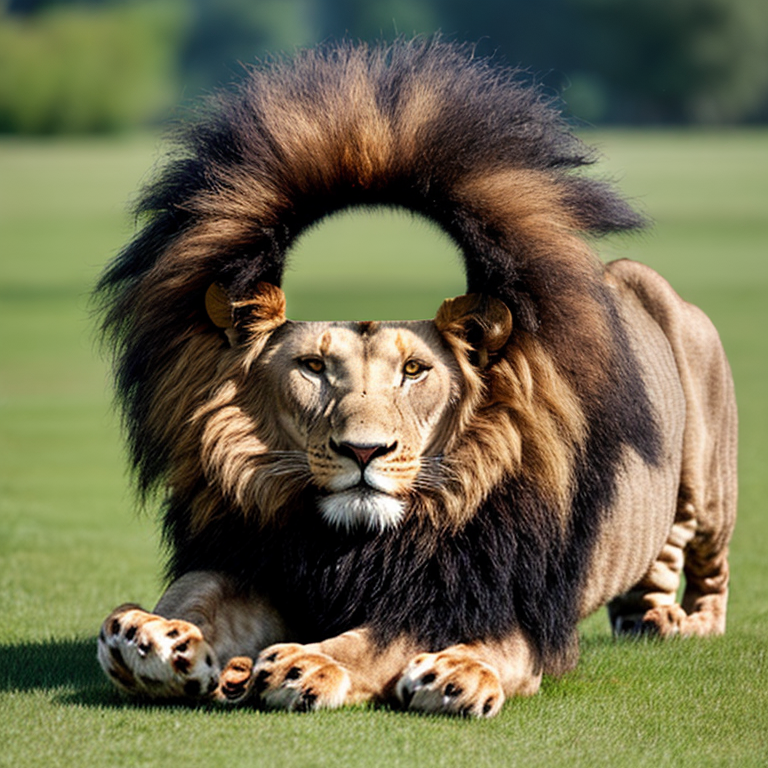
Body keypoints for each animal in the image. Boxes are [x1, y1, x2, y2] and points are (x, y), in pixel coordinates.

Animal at [95, 39, 737, 717]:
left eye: (414, 370)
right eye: (314, 366)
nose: (363, 451)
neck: (361, 538)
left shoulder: (508, 610)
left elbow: (382, 639)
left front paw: (323, 663)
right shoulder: (258, 559)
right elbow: (198, 594)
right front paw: (149, 636)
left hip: (708, 484)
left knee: (708, 564)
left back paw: (687, 623)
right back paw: (648, 618)